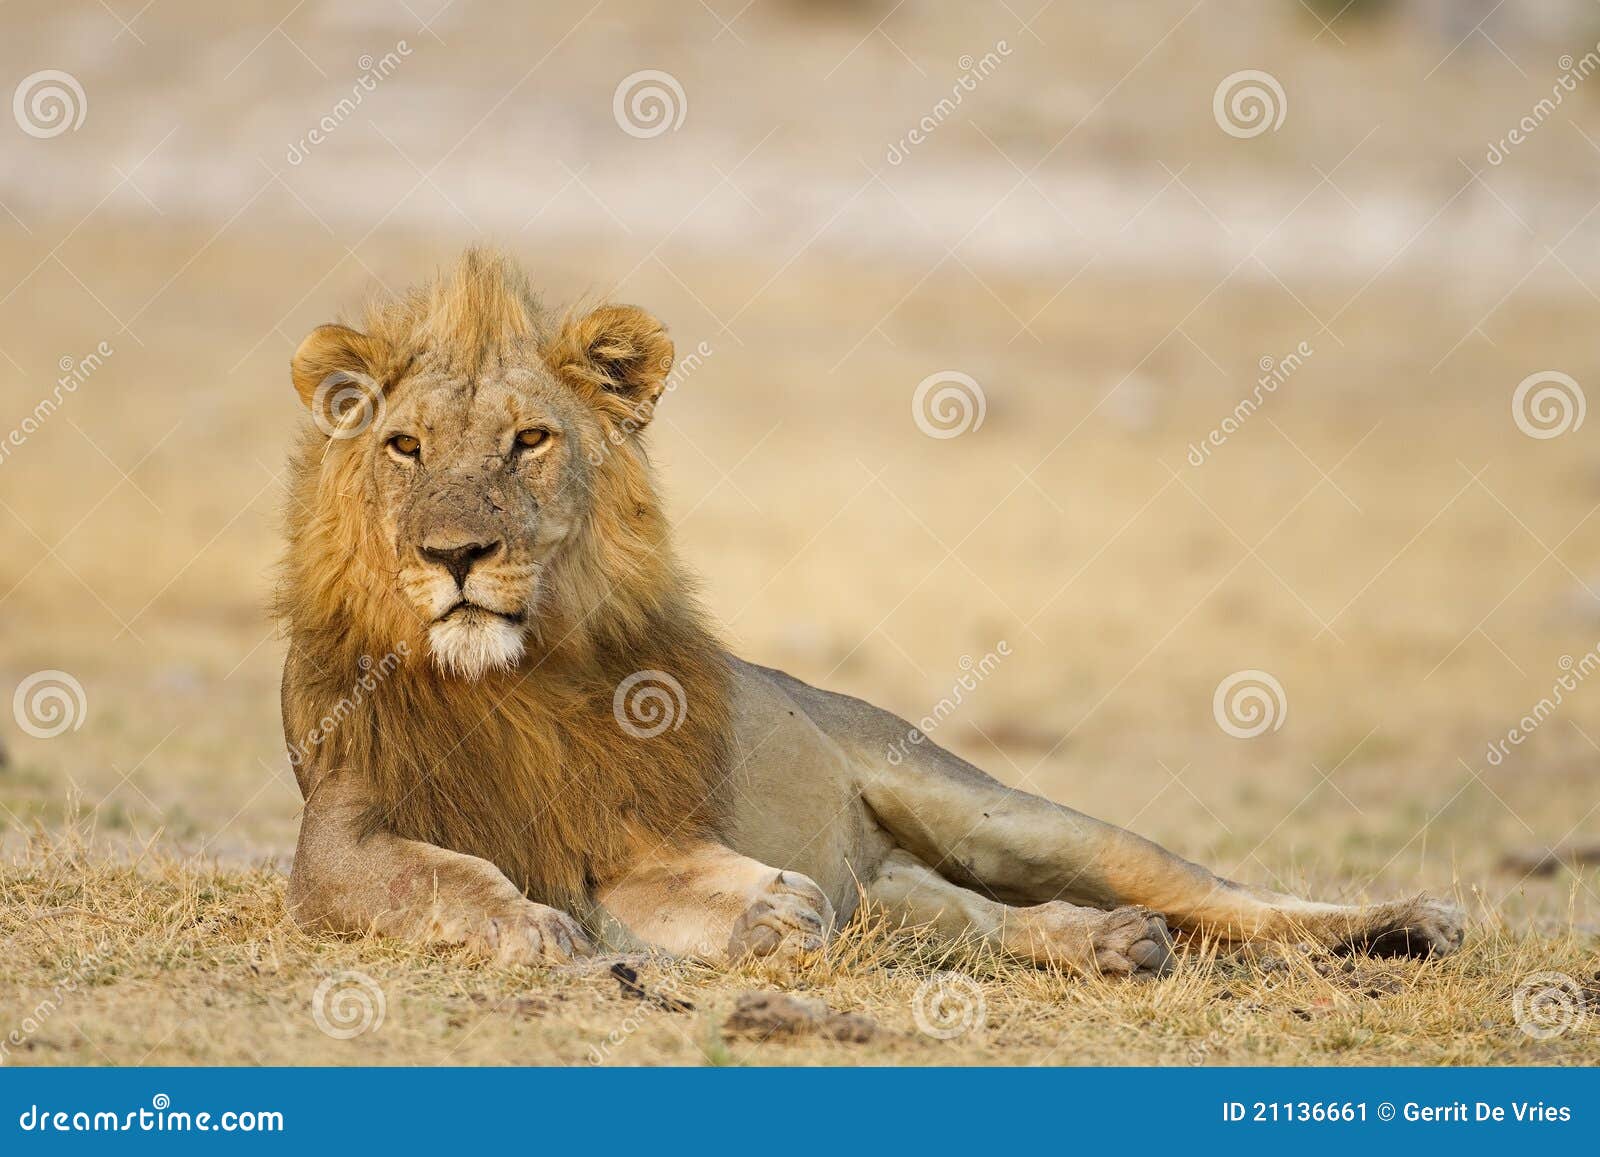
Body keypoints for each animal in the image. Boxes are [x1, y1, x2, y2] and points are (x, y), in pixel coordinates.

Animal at [278, 248, 1464, 975]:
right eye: (405, 446)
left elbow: (667, 880)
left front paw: (759, 907)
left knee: (1228, 897)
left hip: (1002, 813)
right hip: (903, 885)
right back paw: (1107, 944)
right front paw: (528, 922)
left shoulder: (632, 822)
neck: (508, 675)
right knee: (983, 919)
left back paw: (1409, 921)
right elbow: (426, 872)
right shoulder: (340, 826)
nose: (455, 554)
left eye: (529, 440)